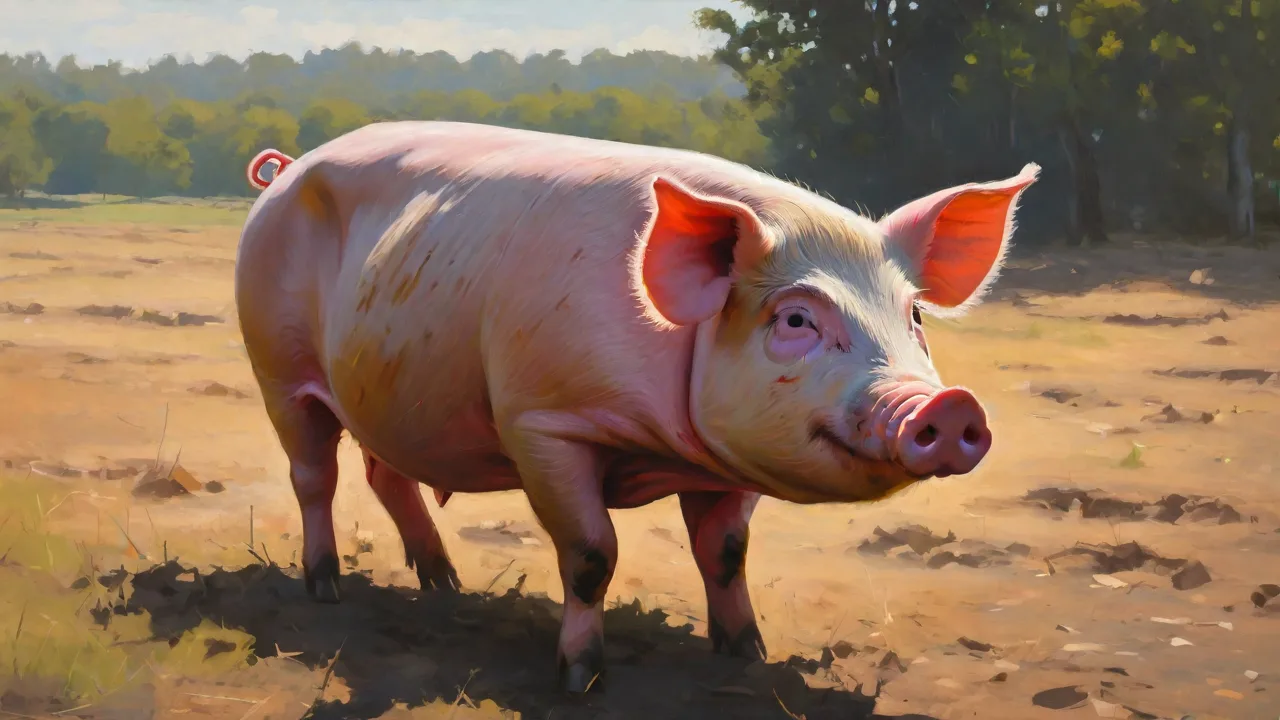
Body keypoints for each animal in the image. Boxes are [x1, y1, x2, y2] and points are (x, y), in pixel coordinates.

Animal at [236, 121, 1038, 693]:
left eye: (915, 317)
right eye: (795, 319)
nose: (949, 405)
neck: (662, 449)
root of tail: (287, 170)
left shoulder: (728, 466)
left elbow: (726, 551)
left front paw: (746, 655)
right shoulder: (544, 423)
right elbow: (592, 553)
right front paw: (580, 679)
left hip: (389, 393)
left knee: (386, 473)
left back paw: (444, 583)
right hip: (276, 367)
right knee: (314, 475)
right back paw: (326, 589)